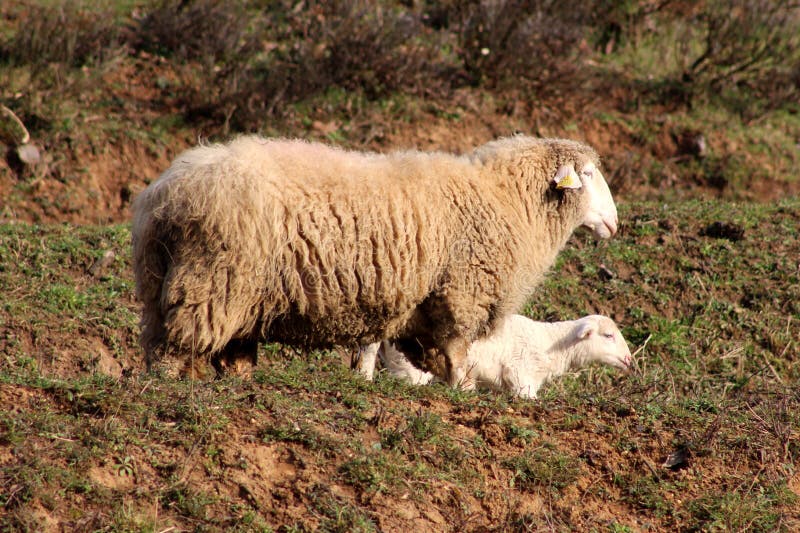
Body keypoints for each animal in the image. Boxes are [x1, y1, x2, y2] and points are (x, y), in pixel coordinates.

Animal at [131, 135, 618, 380]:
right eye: (588, 174)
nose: (615, 223)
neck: (505, 198)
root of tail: (168, 193)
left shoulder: (415, 304)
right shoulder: (459, 296)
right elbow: (457, 359)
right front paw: (457, 394)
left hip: (178, 283)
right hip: (213, 281)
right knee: (173, 349)